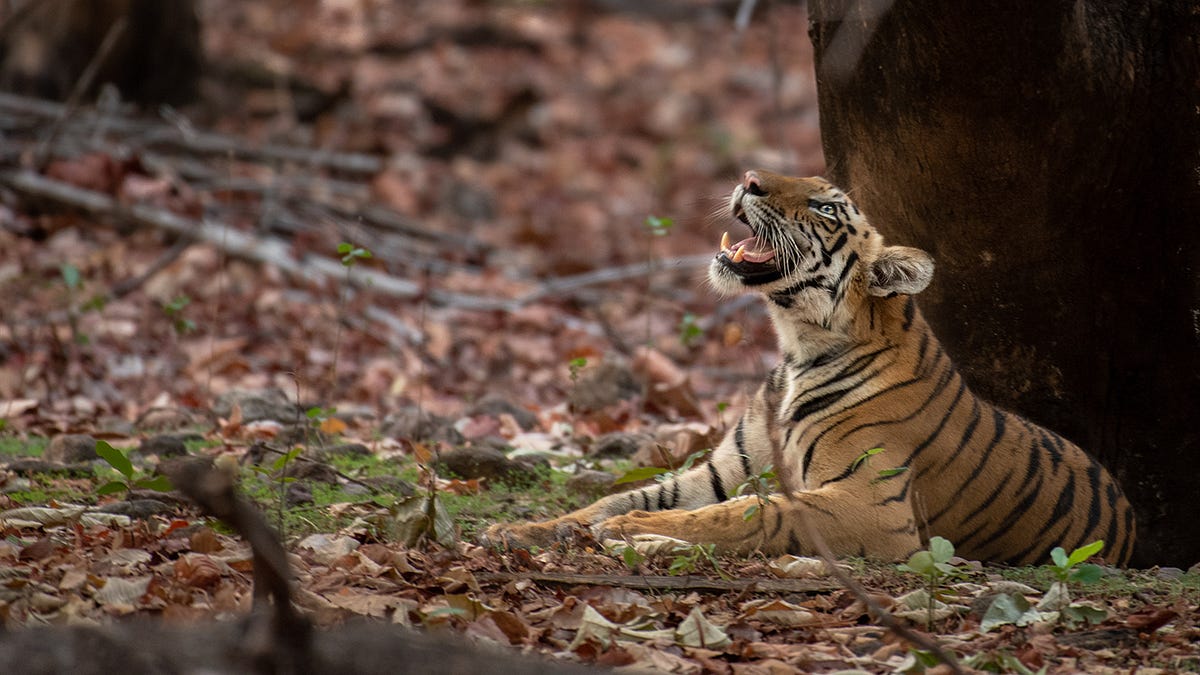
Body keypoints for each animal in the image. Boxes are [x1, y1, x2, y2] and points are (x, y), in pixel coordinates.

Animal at [484, 170, 1136, 566]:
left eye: (825, 206)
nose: (749, 178)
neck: (796, 345)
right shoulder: (723, 469)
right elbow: (620, 499)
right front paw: (520, 530)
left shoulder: (878, 509)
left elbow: (755, 511)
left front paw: (629, 534)